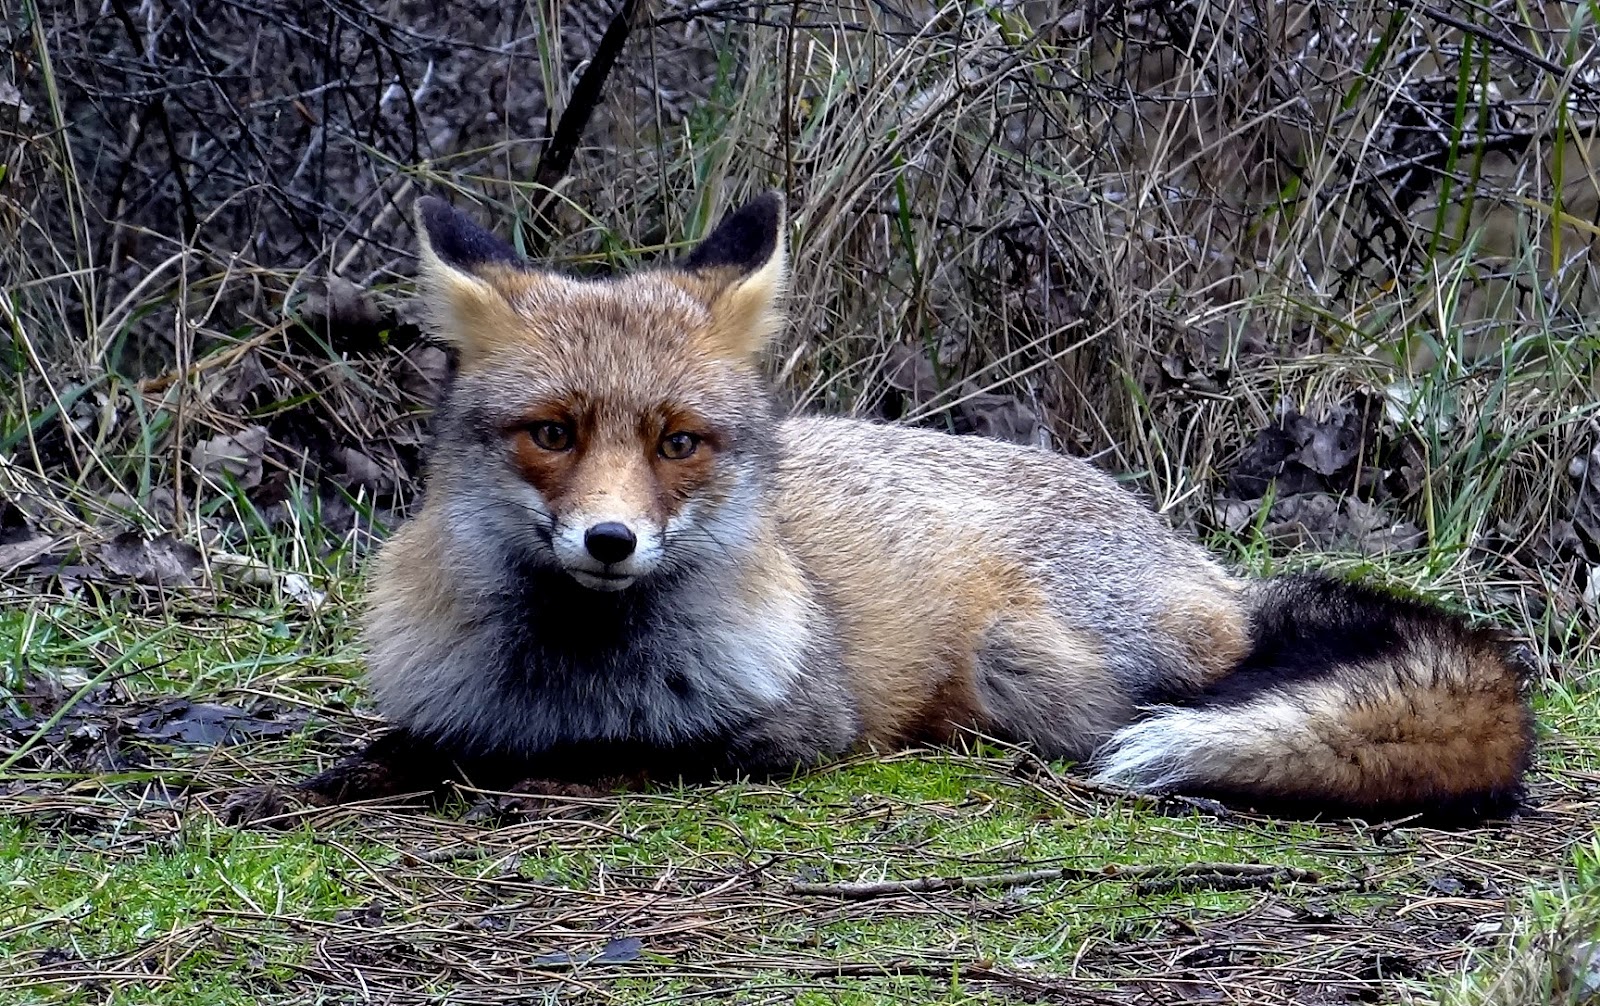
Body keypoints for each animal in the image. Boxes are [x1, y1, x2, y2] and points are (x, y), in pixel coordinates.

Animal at [300, 191, 1535, 823]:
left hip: (1035, 655)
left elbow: (600, 757)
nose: (611, 540)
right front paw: (347, 774)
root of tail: (1195, 555)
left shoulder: (794, 729)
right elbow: (417, 742)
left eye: (677, 443)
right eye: (551, 434)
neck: (577, 668)